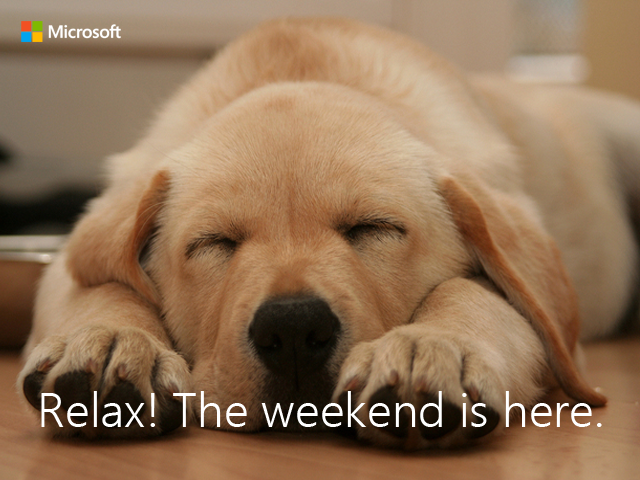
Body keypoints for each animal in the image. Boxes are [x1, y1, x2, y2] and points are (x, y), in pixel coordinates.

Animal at [17, 17, 640, 448]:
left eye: (373, 228)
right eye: (214, 243)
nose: (292, 329)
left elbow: (477, 293)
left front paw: (431, 345)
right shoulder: (76, 254)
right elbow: (106, 286)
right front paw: (108, 341)